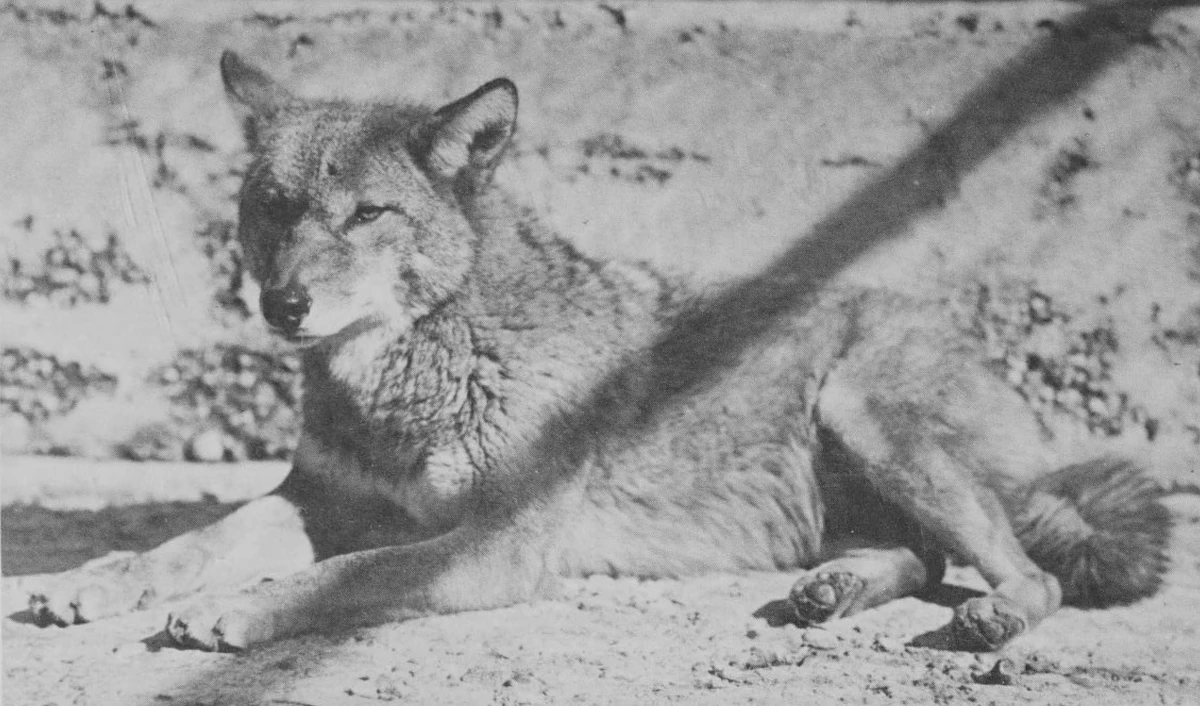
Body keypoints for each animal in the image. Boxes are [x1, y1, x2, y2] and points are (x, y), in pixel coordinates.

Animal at [24, 53, 1171, 652]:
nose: (285, 301)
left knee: (1028, 574)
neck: (418, 368)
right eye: (275, 206)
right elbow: (190, 542)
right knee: (916, 556)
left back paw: (991, 618)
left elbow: (341, 577)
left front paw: (232, 612)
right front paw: (97, 580)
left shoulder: (495, 546)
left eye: (366, 215)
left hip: (863, 412)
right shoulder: (310, 499)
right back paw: (829, 594)